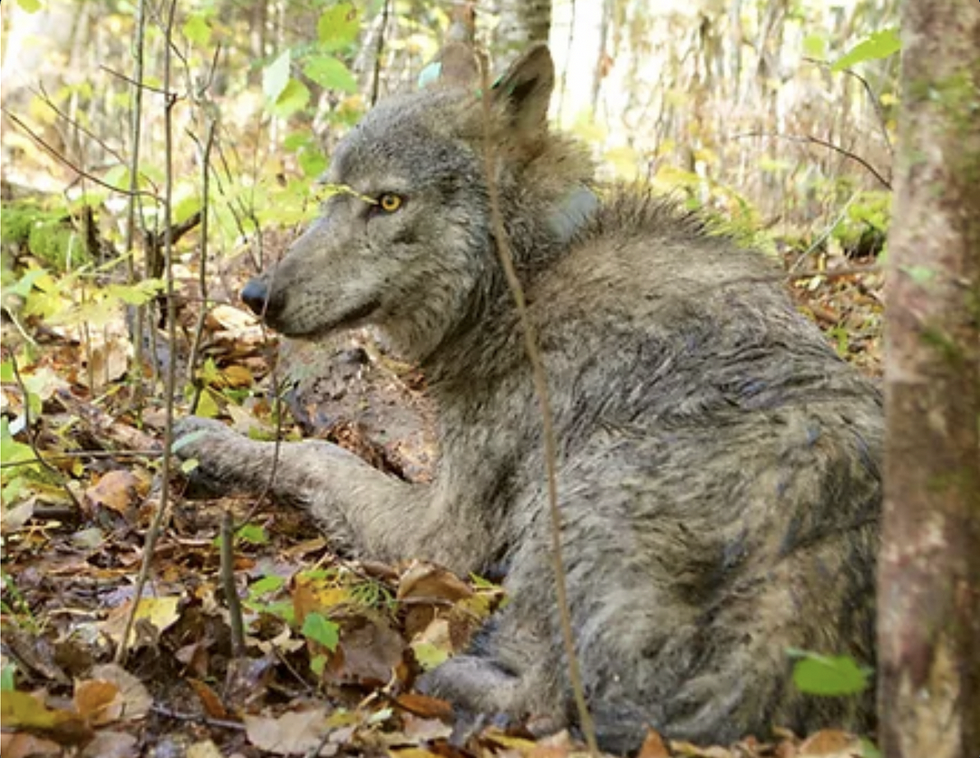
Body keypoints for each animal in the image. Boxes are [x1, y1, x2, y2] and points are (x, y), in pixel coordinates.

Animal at [175, 43, 881, 751]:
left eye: (389, 202)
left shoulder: (439, 535)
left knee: (552, 700)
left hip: (571, 497)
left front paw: (216, 442)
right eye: (332, 198)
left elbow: (318, 456)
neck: (528, 269)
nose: (258, 295)